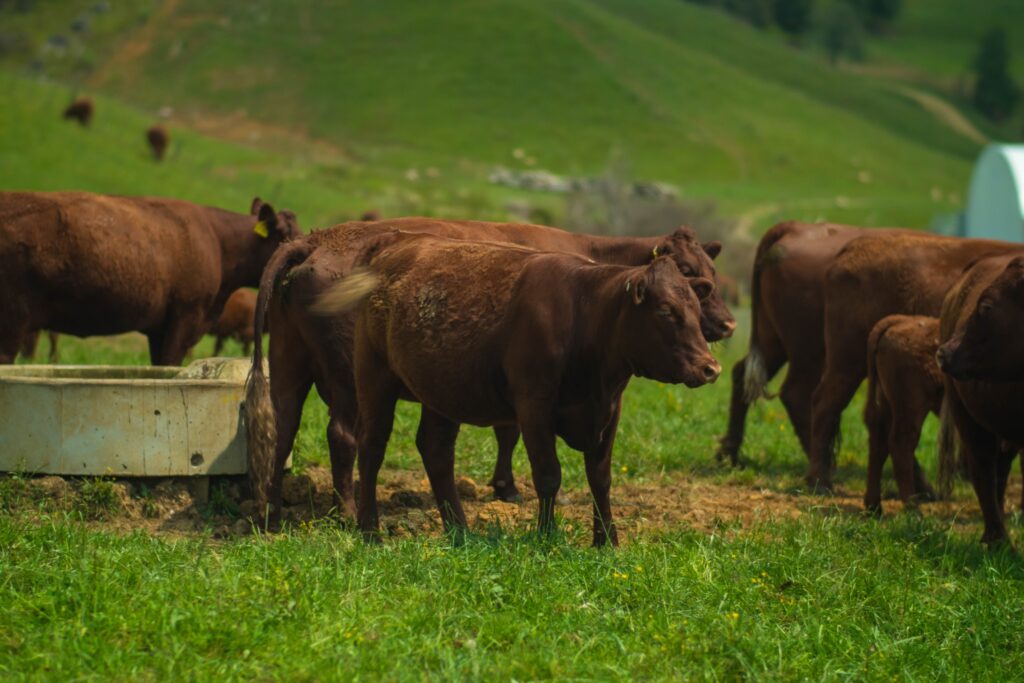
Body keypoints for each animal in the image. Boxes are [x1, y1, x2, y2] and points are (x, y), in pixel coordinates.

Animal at [245, 218, 733, 526]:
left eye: (709, 273)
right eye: (688, 272)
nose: (729, 324)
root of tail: (317, 239)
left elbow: (508, 433)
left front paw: (504, 486)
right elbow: (517, 438)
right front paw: (513, 488)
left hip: (289, 362)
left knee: (283, 427)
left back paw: (270, 512)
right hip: (351, 376)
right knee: (345, 436)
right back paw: (347, 513)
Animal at [862, 315, 946, 515]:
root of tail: (901, 320)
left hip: (888, 404)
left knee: (879, 442)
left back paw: (874, 507)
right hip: (911, 407)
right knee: (901, 444)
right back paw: (913, 510)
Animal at [937, 253, 1024, 545]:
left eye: (986, 306)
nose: (944, 353)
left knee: (999, 473)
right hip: (967, 418)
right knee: (984, 470)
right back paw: (998, 540)